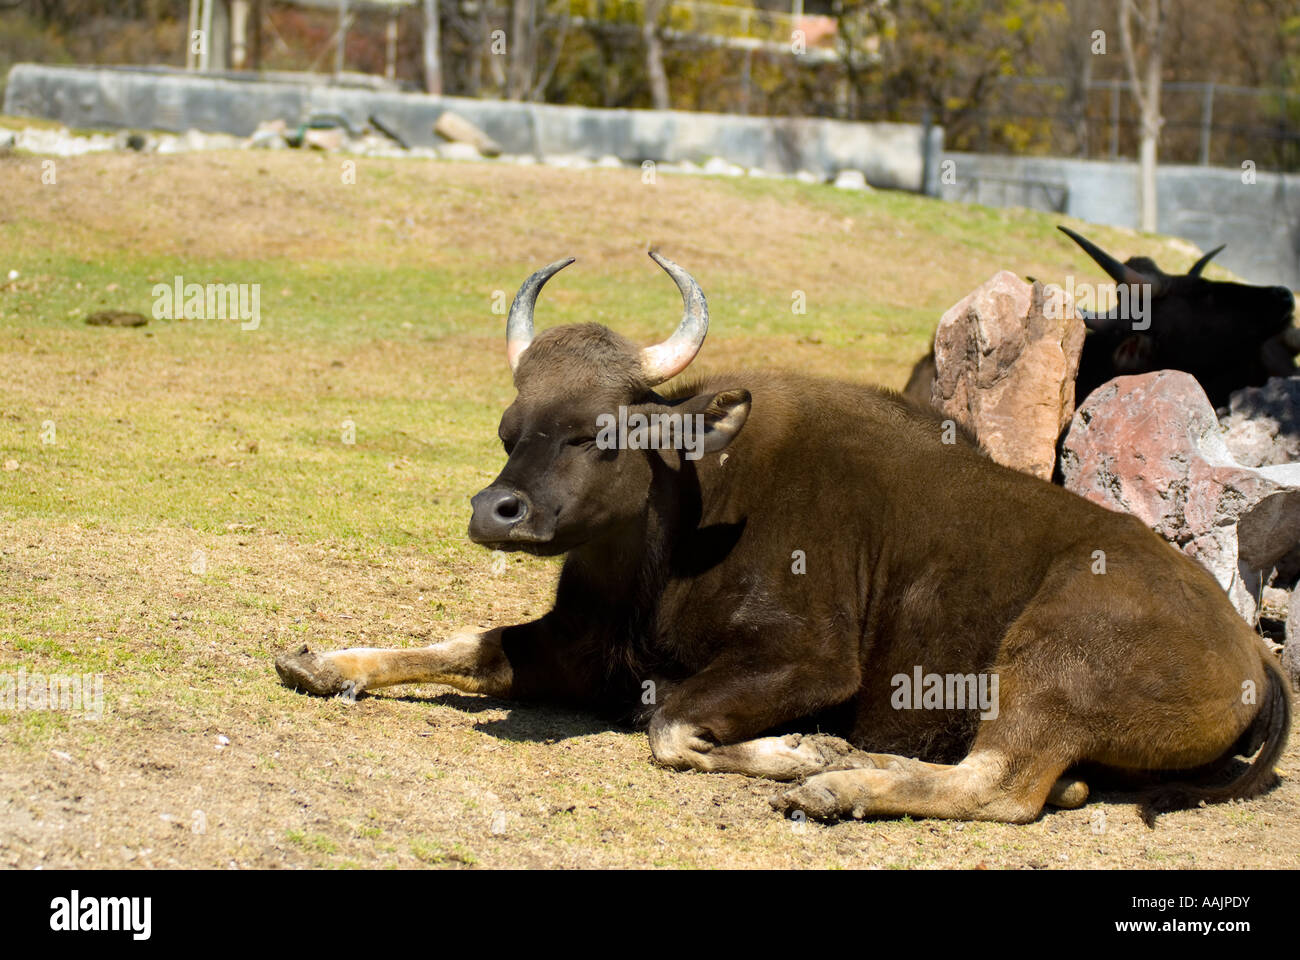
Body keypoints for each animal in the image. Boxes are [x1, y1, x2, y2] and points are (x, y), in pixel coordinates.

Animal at [276, 252, 1289, 825]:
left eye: (604, 432)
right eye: (508, 427)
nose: (498, 511)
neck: (682, 523)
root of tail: (1249, 648)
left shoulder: (809, 661)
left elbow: (668, 726)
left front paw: (803, 753)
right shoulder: (579, 645)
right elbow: (464, 643)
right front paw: (326, 660)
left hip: (1049, 660)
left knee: (1000, 785)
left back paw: (837, 785)